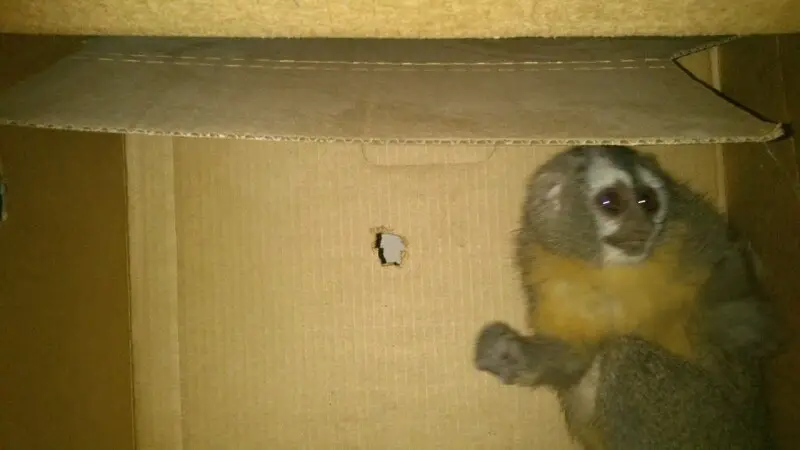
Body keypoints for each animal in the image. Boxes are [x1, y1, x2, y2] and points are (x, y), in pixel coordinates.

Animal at [473, 145, 780, 450]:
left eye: (648, 201)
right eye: (611, 202)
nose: (642, 225)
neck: (612, 267)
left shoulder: (686, 223)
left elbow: (725, 255)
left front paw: (731, 329)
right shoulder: (543, 268)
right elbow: (575, 357)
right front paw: (510, 353)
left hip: (708, 424)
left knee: (623, 355)